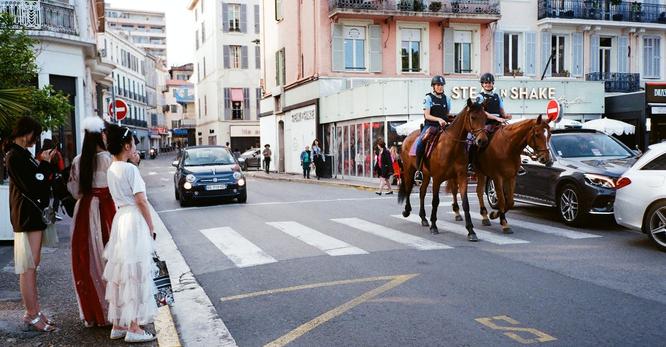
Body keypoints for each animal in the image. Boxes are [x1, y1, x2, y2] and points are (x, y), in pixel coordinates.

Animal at [394, 98, 488, 242]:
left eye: (485, 118)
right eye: (473, 117)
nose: (482, 141)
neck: (452, 146)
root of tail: (406, 138)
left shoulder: (461, 177)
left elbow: (465, 202)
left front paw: (471, 231)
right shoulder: (438, 178)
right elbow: (435, 201)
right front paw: (434, 226)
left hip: (426, 175)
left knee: (421, 193)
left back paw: (423, 218)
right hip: (410, 171)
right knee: (409, 189)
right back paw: (407, 211)